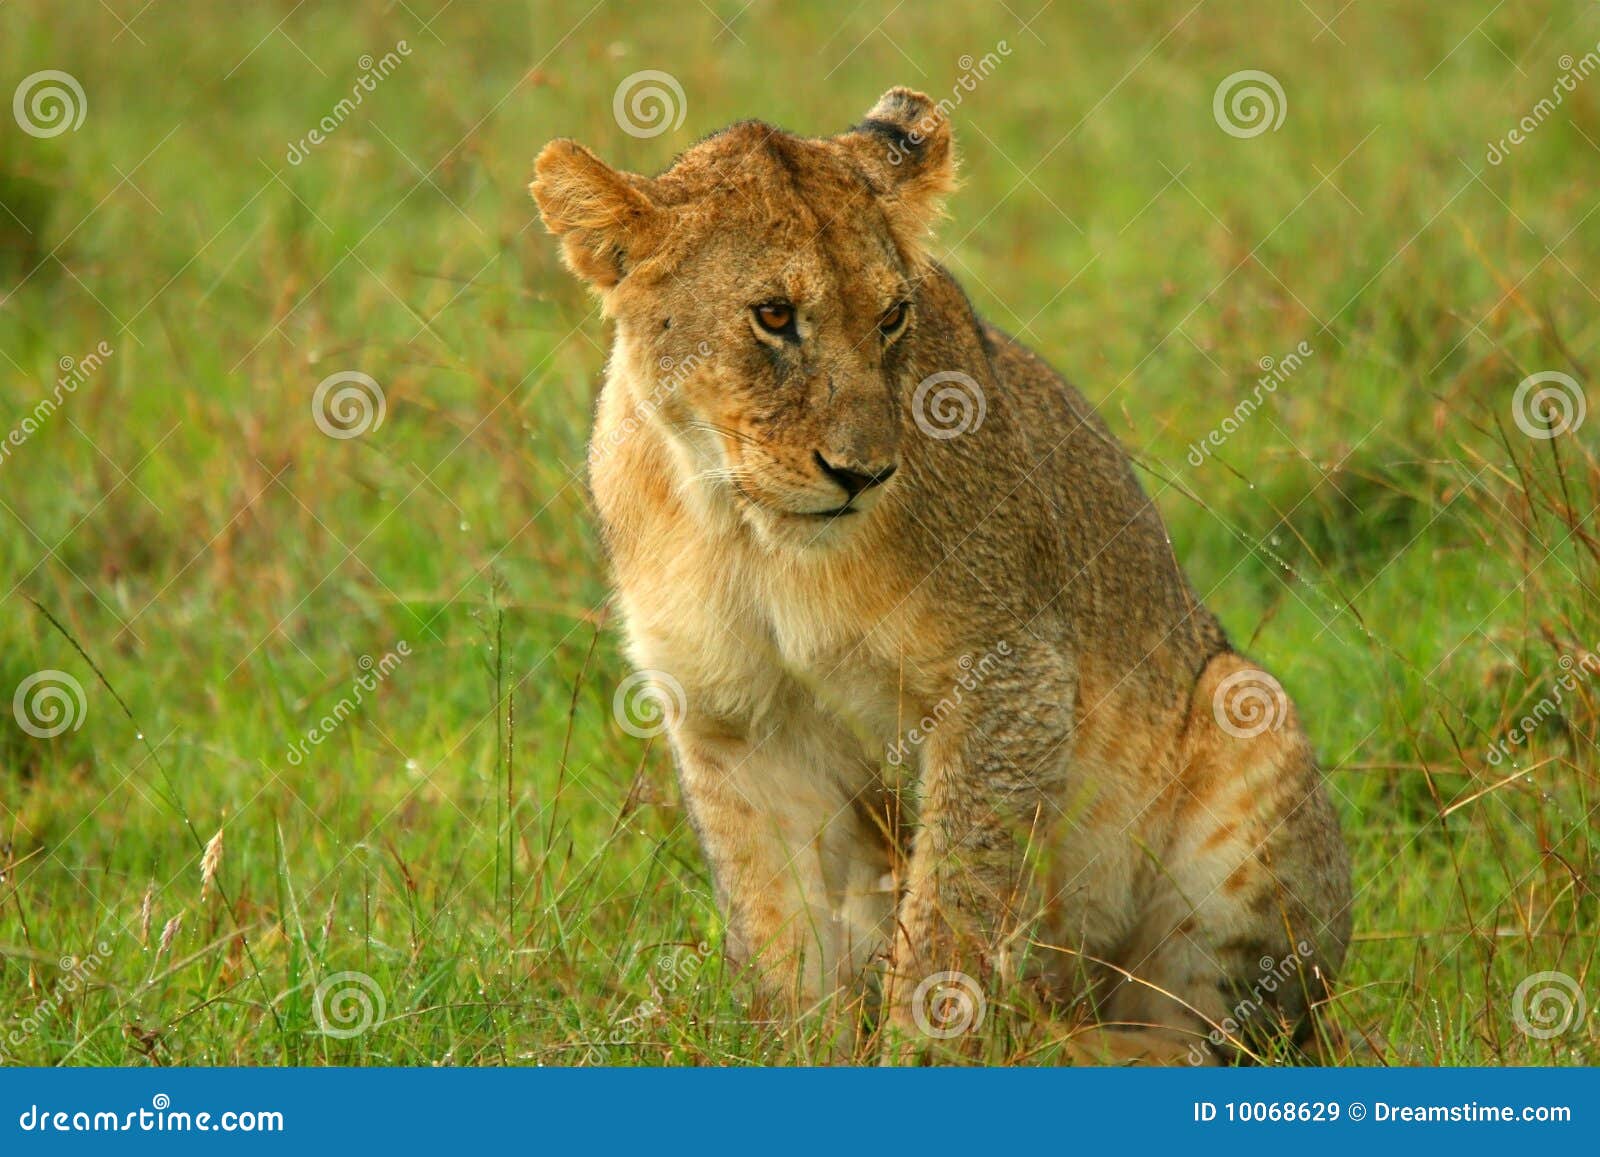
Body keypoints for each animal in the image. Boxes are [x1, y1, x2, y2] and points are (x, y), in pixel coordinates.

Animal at [531, 87, 1350, 1064]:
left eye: (891, 317)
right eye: (773, 314)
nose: (861, 473)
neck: (748, 531)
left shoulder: (1008, 672)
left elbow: (951, 909)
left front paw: (921, 1053)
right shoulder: (731, 717)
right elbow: (781, 934)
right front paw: (804, 1050)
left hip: (1244, 713)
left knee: (1210, 1032)